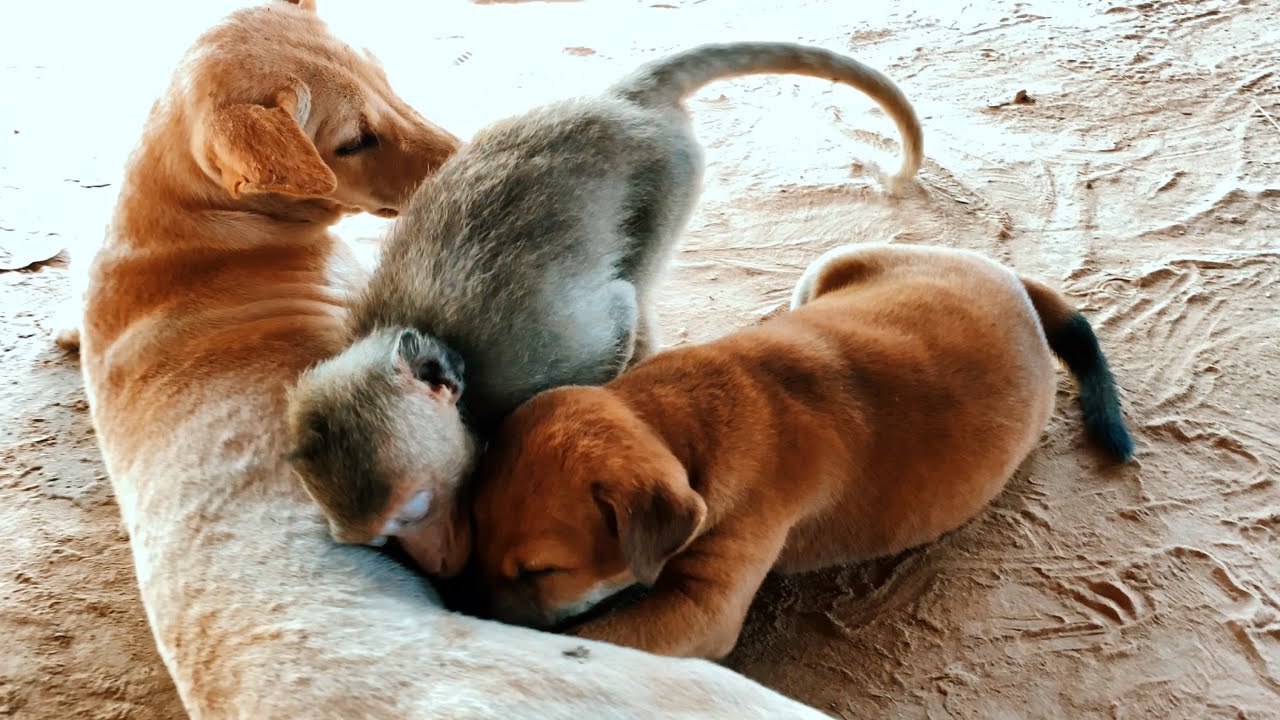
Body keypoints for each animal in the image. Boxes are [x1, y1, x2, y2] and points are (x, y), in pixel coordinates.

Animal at [284, 42, 925, 579]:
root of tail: (620, 101)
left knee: (635, 279)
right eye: (380, 537)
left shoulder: (534, 367)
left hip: (669, 175)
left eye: (414, 509)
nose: (436, 568)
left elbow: (615, 318)